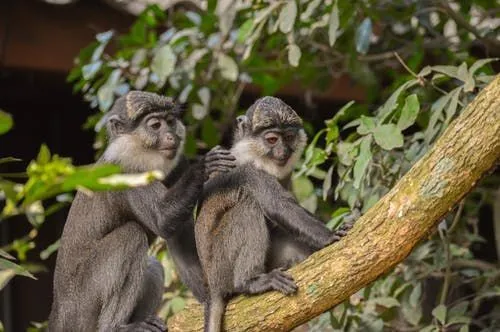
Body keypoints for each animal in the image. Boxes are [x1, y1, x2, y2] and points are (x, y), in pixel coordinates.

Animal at [48, 91, 234, 332]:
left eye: (170, 122)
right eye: (155, 125)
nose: (171, 137)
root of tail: (58, 315)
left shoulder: (178, 165)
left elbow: (178, 235)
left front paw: (209, 298)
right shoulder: (127, 170)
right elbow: (162, 219)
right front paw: (205, 165)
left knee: (153, 265)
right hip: (81, 308)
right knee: (131, 236)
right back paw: (118, 327)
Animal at [193, 96, 354, 332]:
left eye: (288, 137)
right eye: (271, 139)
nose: (283, 152)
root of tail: (211, 287)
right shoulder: (248, 170)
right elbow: (278, 205)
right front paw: (330, 235)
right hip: (221, 266)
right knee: (248, 207)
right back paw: (250, 282)